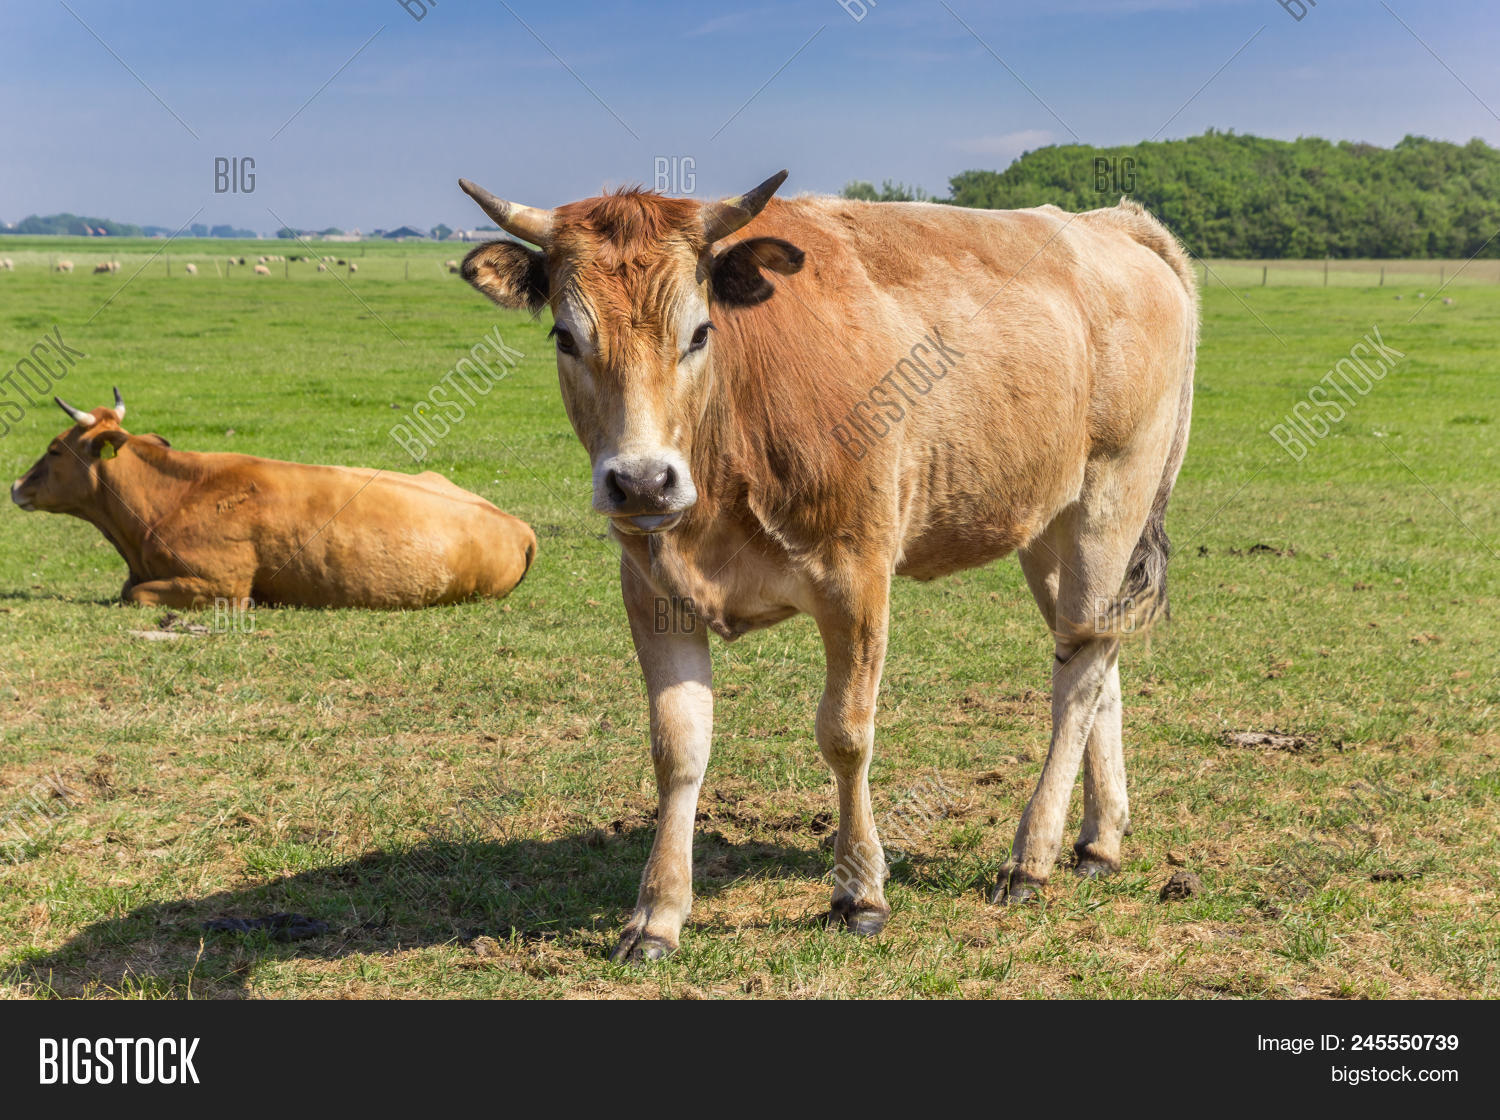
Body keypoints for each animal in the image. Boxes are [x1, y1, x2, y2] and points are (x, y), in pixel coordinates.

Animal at [457, 171, 1197, 961]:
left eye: (699, 332)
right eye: (566, 336)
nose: (644, 481)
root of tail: (1110, 223)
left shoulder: (857, 577)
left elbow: (845, 735)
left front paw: (860, 894)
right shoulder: (653, 592)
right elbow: (678, 749)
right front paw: (656, 913)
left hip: (1111, 497)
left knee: (1080, 672)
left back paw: (1030, 859)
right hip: (1049, 525)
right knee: (1094, 656)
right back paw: (1098, 841)